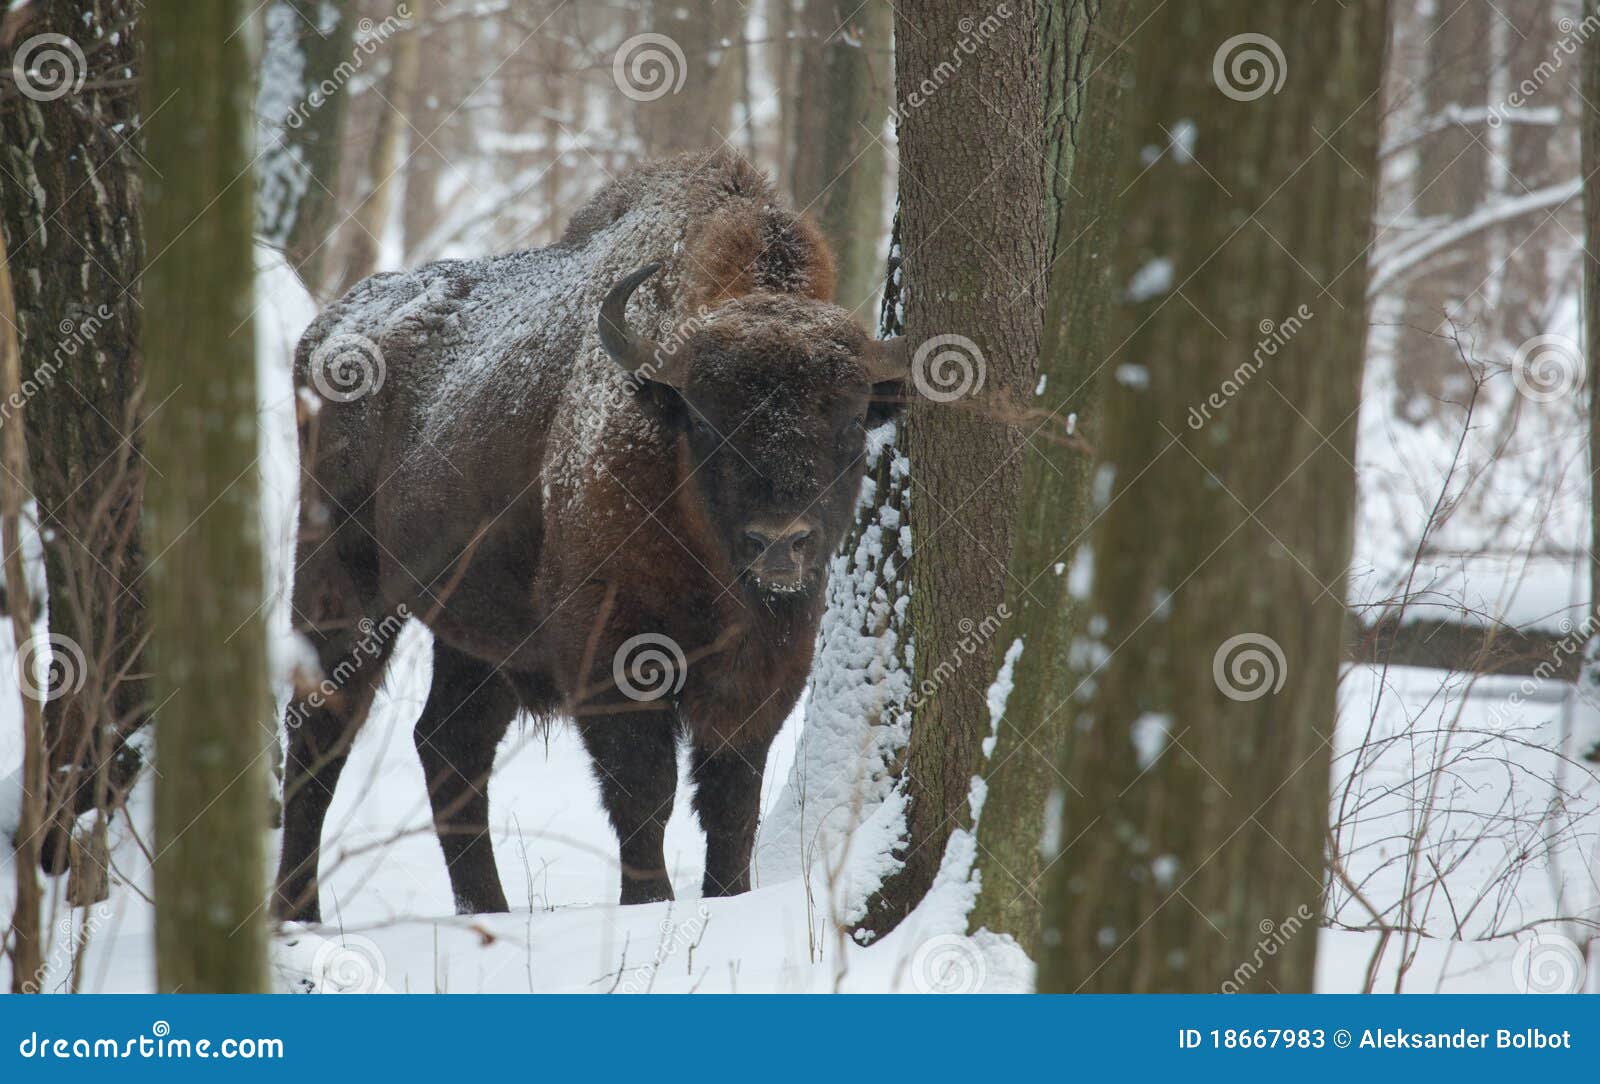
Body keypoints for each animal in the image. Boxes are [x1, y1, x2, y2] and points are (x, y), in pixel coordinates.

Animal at [272, 150, 911, 921]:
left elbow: (731, 804)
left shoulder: (765, 672)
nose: (779, 542)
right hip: (339, 582)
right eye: (706, 420)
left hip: (476, 634)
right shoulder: (613, 653)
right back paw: (297, 912)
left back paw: (487, 908)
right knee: (320, 732)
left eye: (849, 421)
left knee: (449, 743)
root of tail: (327, 330)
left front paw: (727, 898)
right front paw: (651, 903)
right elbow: (645, 794)